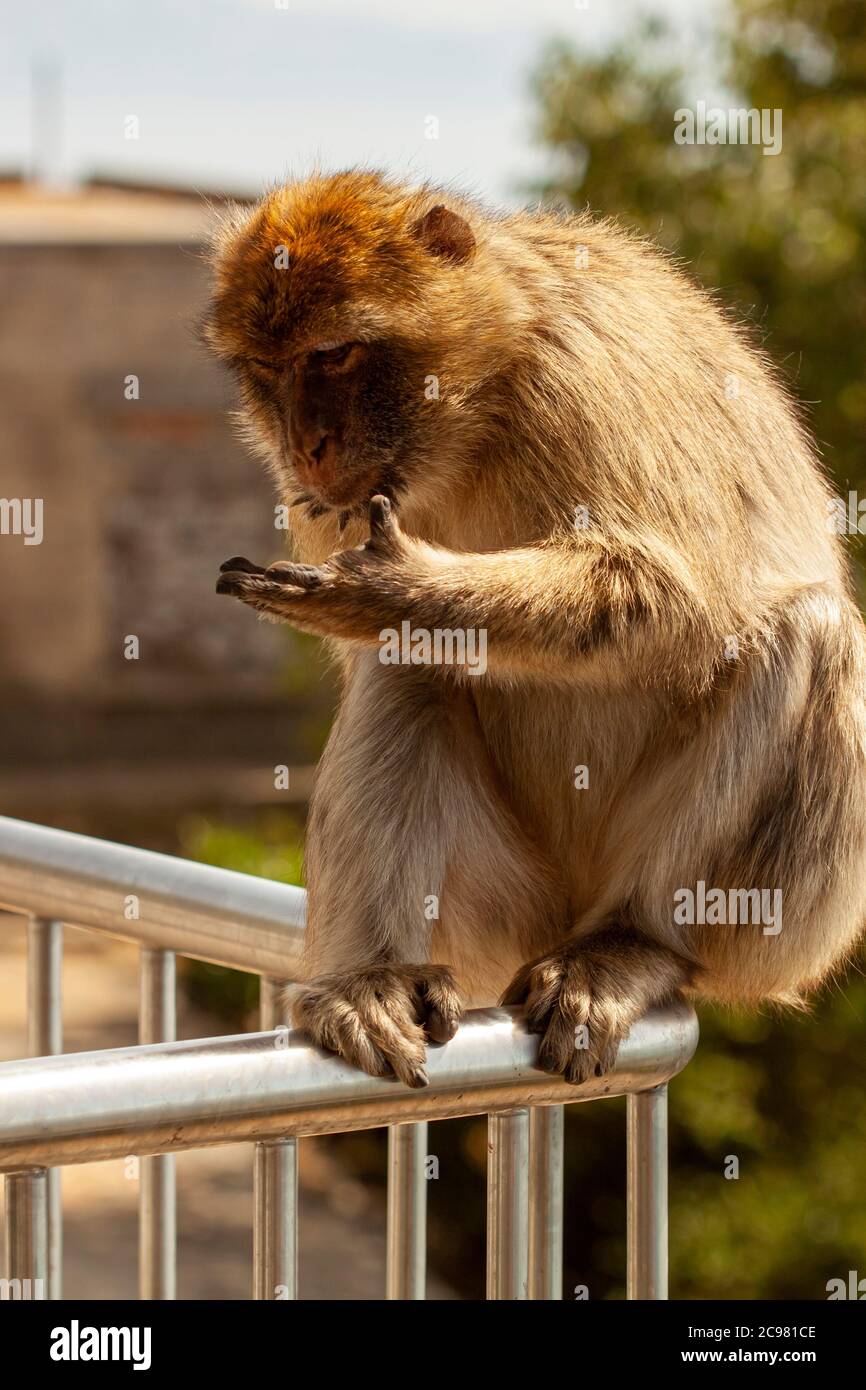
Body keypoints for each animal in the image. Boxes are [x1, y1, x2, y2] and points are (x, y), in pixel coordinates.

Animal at [204, 169, 866, 1089]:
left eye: (330, 354)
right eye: (268, 371)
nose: (307, 445)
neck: (477, 408)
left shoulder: (583, 374)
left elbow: (675, 600)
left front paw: (392, 585)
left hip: (782, 926)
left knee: (808, 629)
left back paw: (631, 944)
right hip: (496, 907)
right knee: (408, 665)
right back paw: (374, 978)